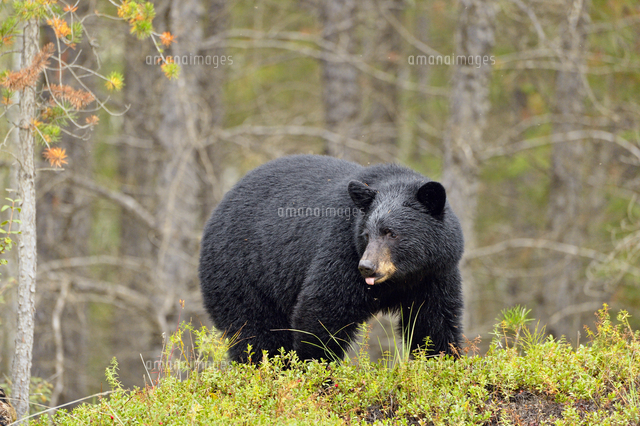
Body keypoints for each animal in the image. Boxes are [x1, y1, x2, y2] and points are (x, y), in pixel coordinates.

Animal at [199, 154, 464, 363]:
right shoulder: (342, 252)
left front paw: (443, 361)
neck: (401, 278)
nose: (367, 267)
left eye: (391, 233)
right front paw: (317, 371)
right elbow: (322, 311)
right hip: (240, 274)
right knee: (254, 333)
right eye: (366, 234)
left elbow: (433, 324)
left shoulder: (435, 275)